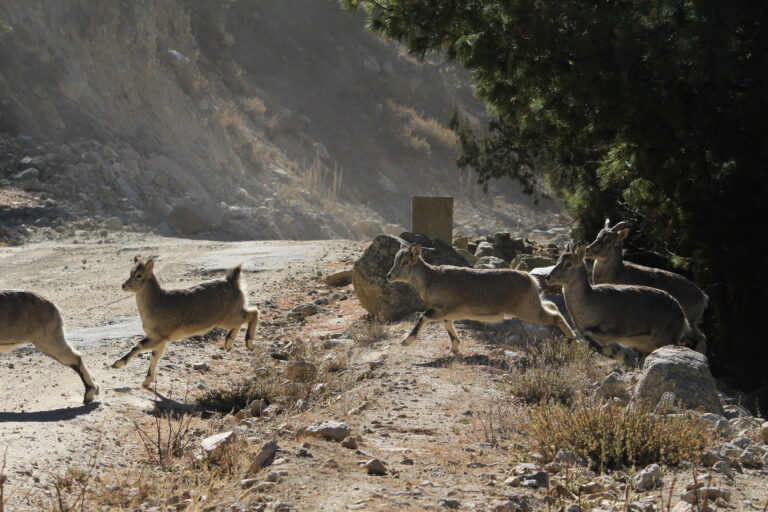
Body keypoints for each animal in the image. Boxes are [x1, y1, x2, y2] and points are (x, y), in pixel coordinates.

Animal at [112, 256, 259, 387]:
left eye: (139, 275)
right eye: (130, 272)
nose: (124, 285)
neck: (157, 302)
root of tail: (233, 282)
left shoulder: (157, 335)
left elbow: (138, 346)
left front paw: (117, 364)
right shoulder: (161, 340)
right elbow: (155, 356)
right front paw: (147, 381)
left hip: (229, 317)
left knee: (254, 312)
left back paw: (249, 343)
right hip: (230, 316)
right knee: (243, 319)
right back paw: (228, 343)